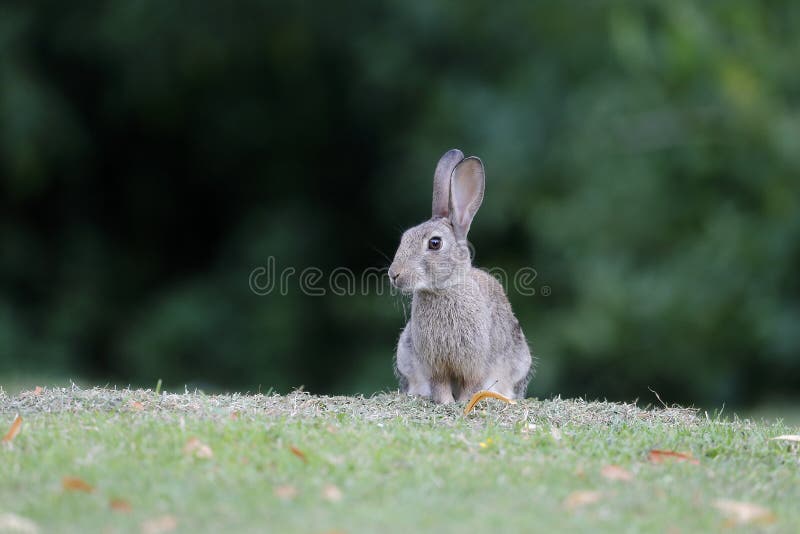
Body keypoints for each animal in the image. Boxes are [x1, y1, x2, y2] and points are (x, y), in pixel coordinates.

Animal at [388, 149, 533, 404]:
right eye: (405, 237)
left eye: (435, 243)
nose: (394, 274)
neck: (444, 289)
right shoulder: (435, 366)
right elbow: (440, 384)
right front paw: (445, 402)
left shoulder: (474, 363)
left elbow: (470, 384)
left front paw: (463, 401)